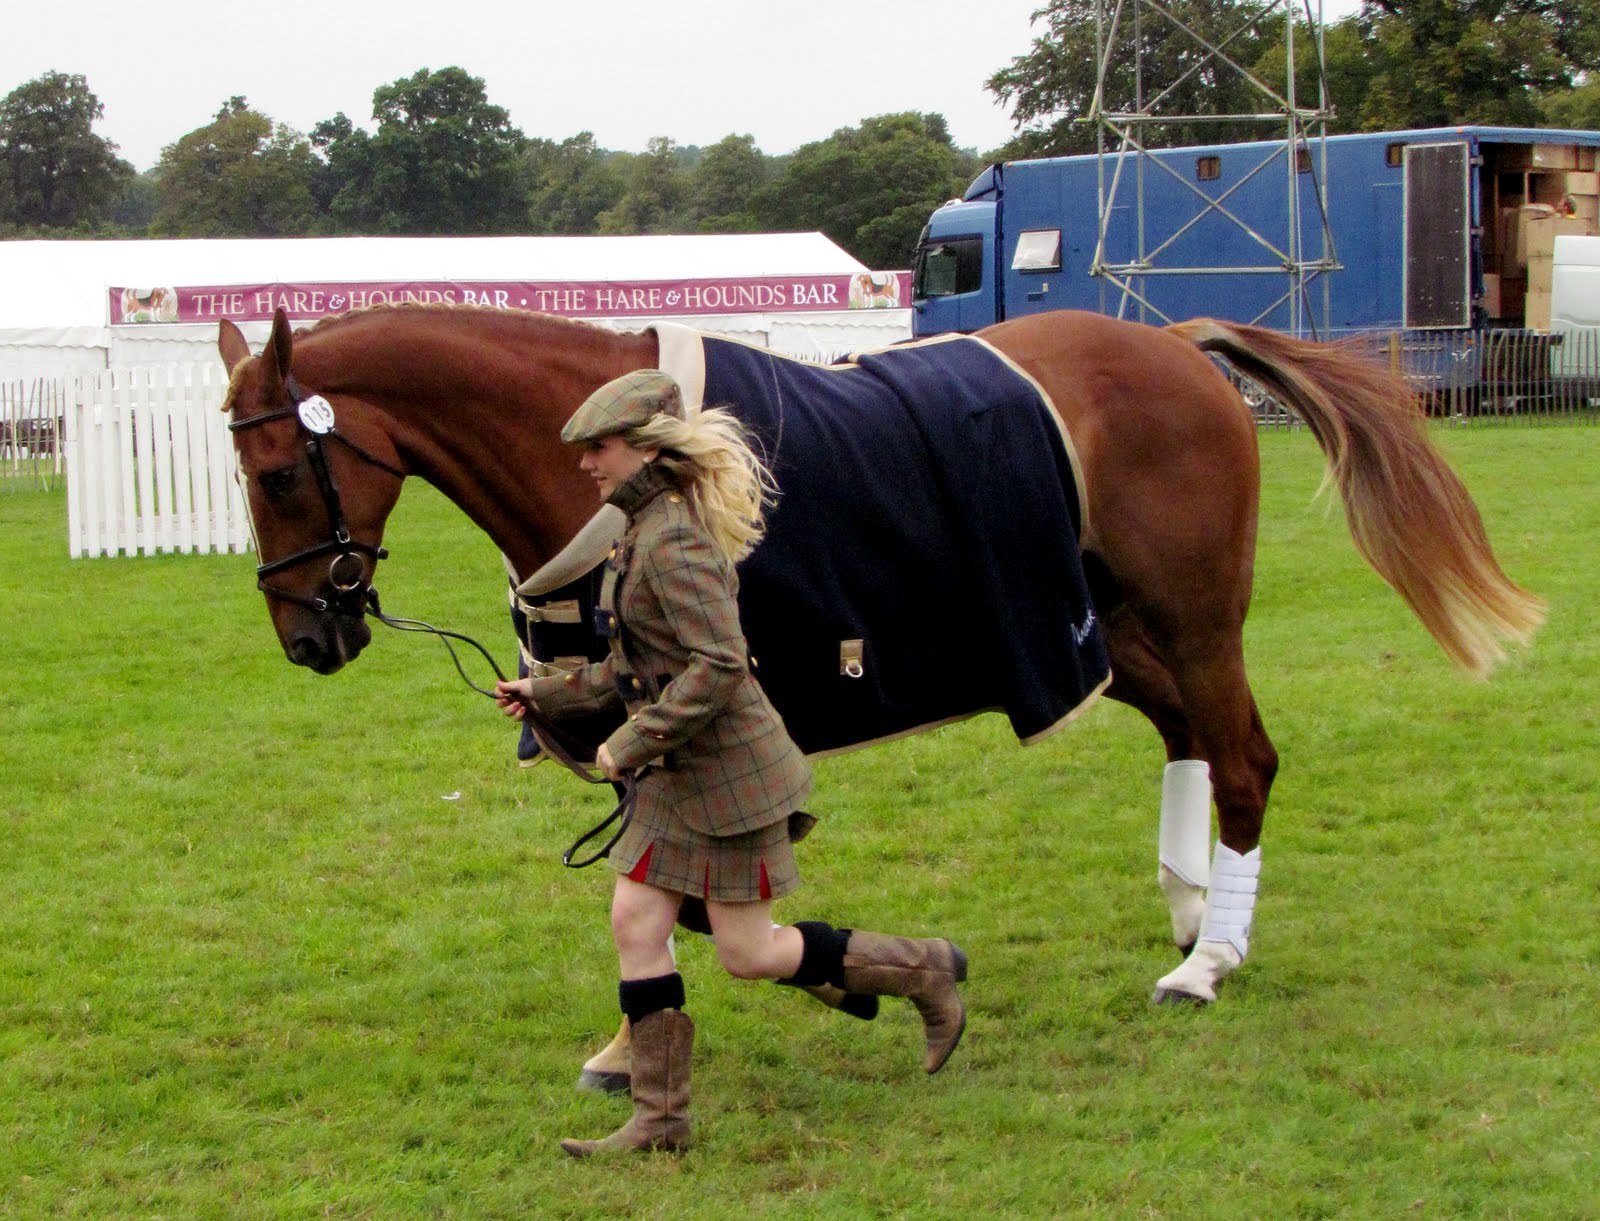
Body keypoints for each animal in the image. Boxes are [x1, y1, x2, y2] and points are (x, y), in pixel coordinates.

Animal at [216, 303, 1542, 1028]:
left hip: (1193, 617)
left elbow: (695, 900)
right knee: (1191, 742)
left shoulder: (701, 723)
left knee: (1247, 759)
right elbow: (680, 905)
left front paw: (853, 976)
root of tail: (1171, 346)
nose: (308, 635)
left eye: (280, 472)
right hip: (1095, 632)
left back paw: (1211, 957)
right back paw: (1186, 908)